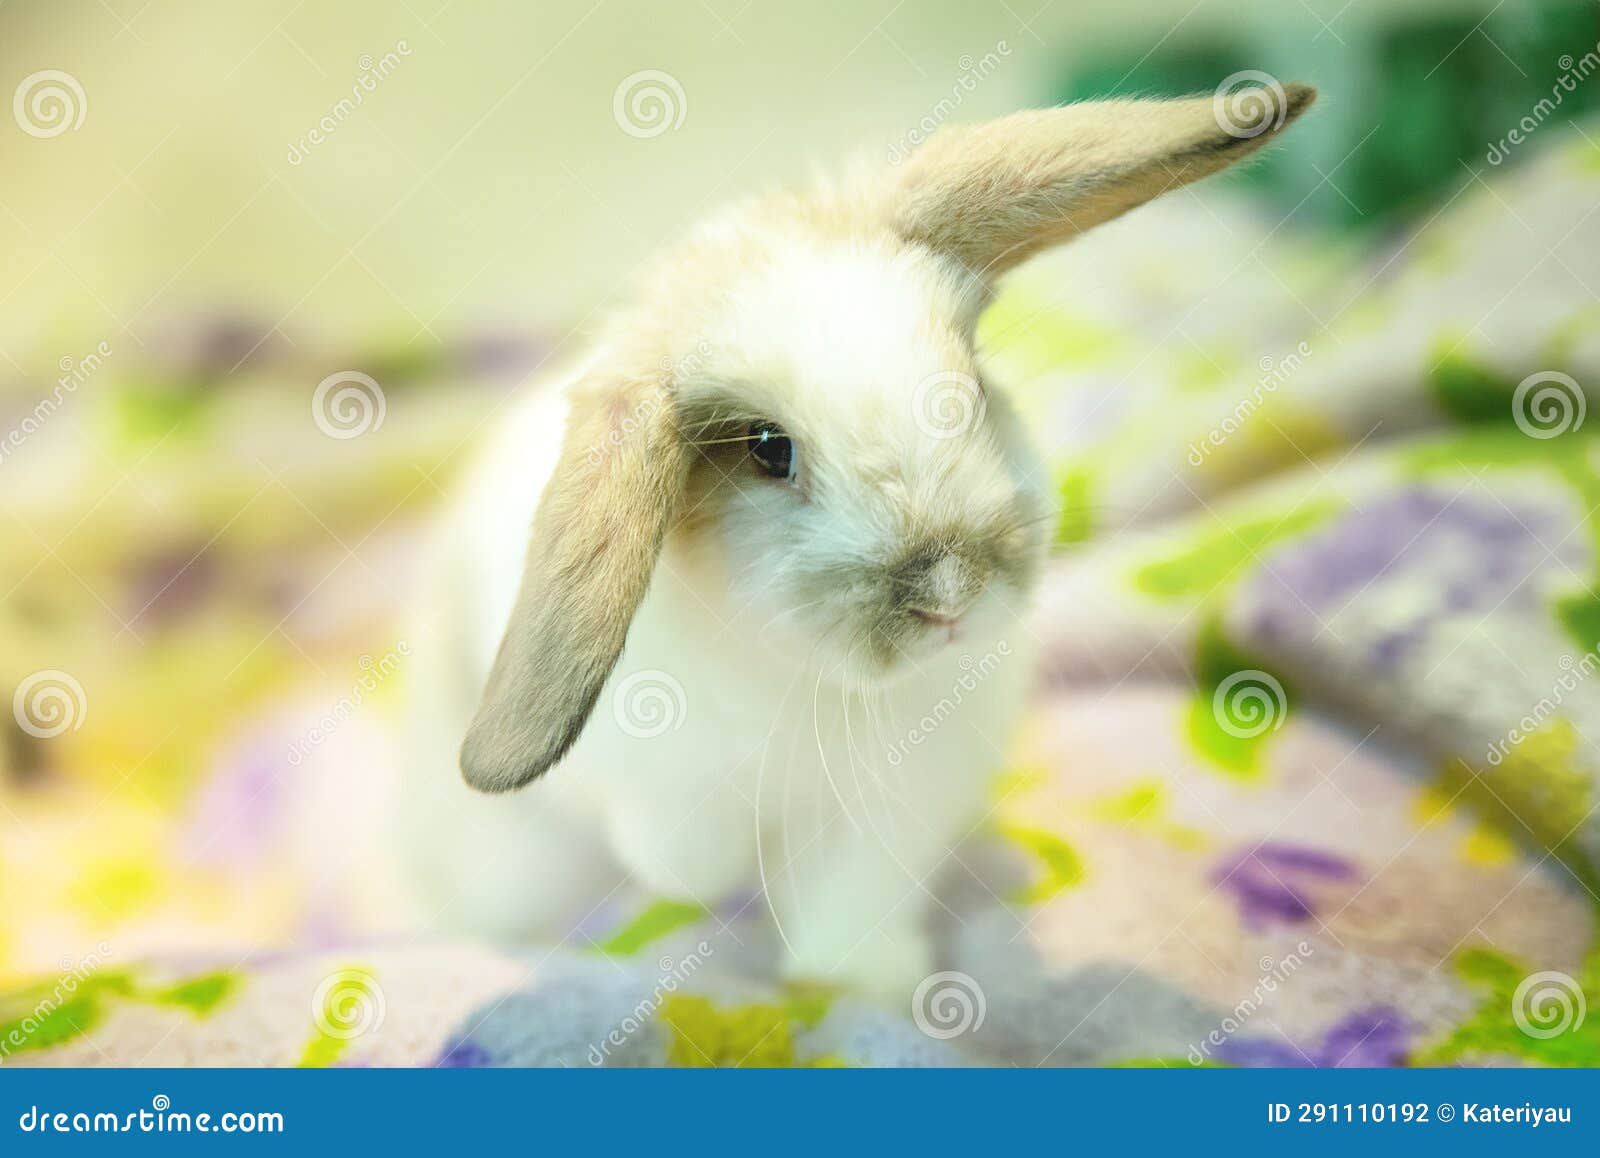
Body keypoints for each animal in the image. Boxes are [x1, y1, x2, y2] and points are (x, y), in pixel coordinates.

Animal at [397, 84, 1317, 996]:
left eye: (973, 388)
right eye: (769, 449)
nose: (950, 597)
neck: (799, 676)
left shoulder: (884, 822)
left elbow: (849, 911)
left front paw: (866, 989)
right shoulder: (641, 788)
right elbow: (679, 855)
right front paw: (715, 876)